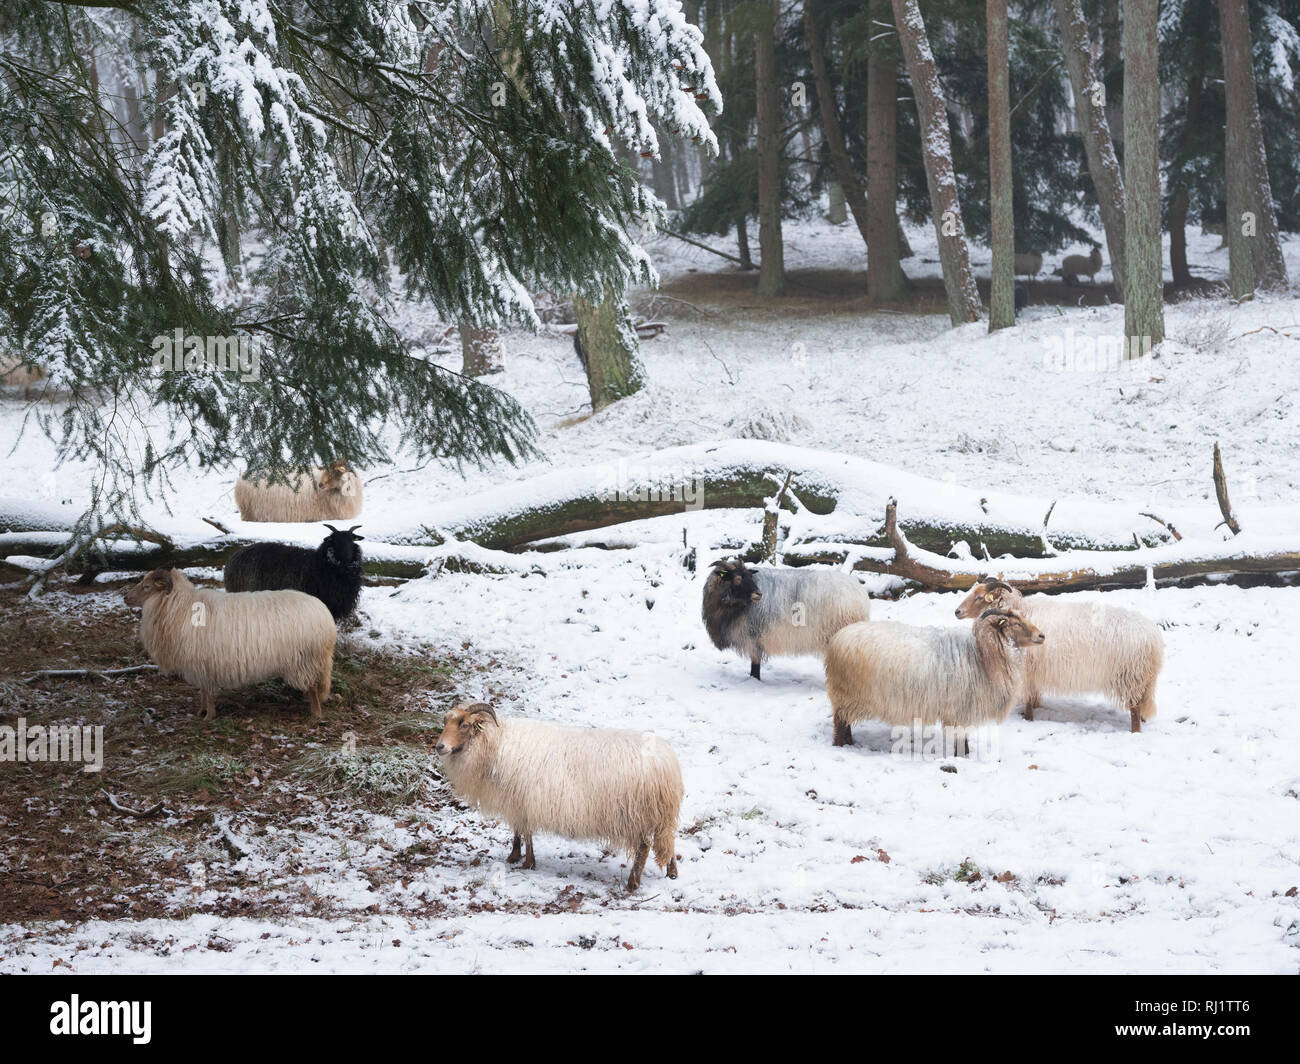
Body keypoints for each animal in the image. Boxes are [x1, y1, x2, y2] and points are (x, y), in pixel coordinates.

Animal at [123, 568, 336, 721]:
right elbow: (203, 691)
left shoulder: (204, 663)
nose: (125, 598)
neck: (181, 608)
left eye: (147, 587)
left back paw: (316, 714)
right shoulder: (200, 664)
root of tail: (324, 613)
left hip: (306, 659)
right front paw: (201, 712)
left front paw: (208, 716)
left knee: (313, 687)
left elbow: (208, 692)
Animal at [434, 702, 682, 891]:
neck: (496, 742)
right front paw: (514, 856)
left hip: (636, 814)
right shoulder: (518, 800)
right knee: (669, 839)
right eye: (446, 723)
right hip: (660, 815)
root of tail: (667, 766)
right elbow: (518, 830)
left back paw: (632, 883)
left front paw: (527, 862)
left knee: (644, 847)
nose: (439, 747)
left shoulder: (522, 798)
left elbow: (526, 831)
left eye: (464, 724)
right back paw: (672, 873)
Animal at [702, 556, 872, 680]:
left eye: (750, 576)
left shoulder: (752, 636)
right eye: (737, 578)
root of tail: (860, 593)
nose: (759, 594)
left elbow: (755, 664)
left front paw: (754, 680)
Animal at [824, 608, 1045, 751]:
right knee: (839, 722)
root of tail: (837, 638)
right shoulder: (961, 709)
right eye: (1015, 623)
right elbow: (961, 740)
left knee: (845, 721)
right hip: (845, 693)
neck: (982, 655)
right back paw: (840, 746)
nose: (1042, 636)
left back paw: (851, 743)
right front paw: (963, 757)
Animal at [954, 577, 1163, 732]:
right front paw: (1036, 707)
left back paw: (1135, 730)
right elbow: (1034, 693)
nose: (957, 611)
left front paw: (1028, 717)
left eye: (980, 597)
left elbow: (1028, 696)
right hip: (1141, 679)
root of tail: (1153, 638)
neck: (1019, 611)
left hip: (1130, 676)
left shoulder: (1028, 668)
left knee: (1134, 709)